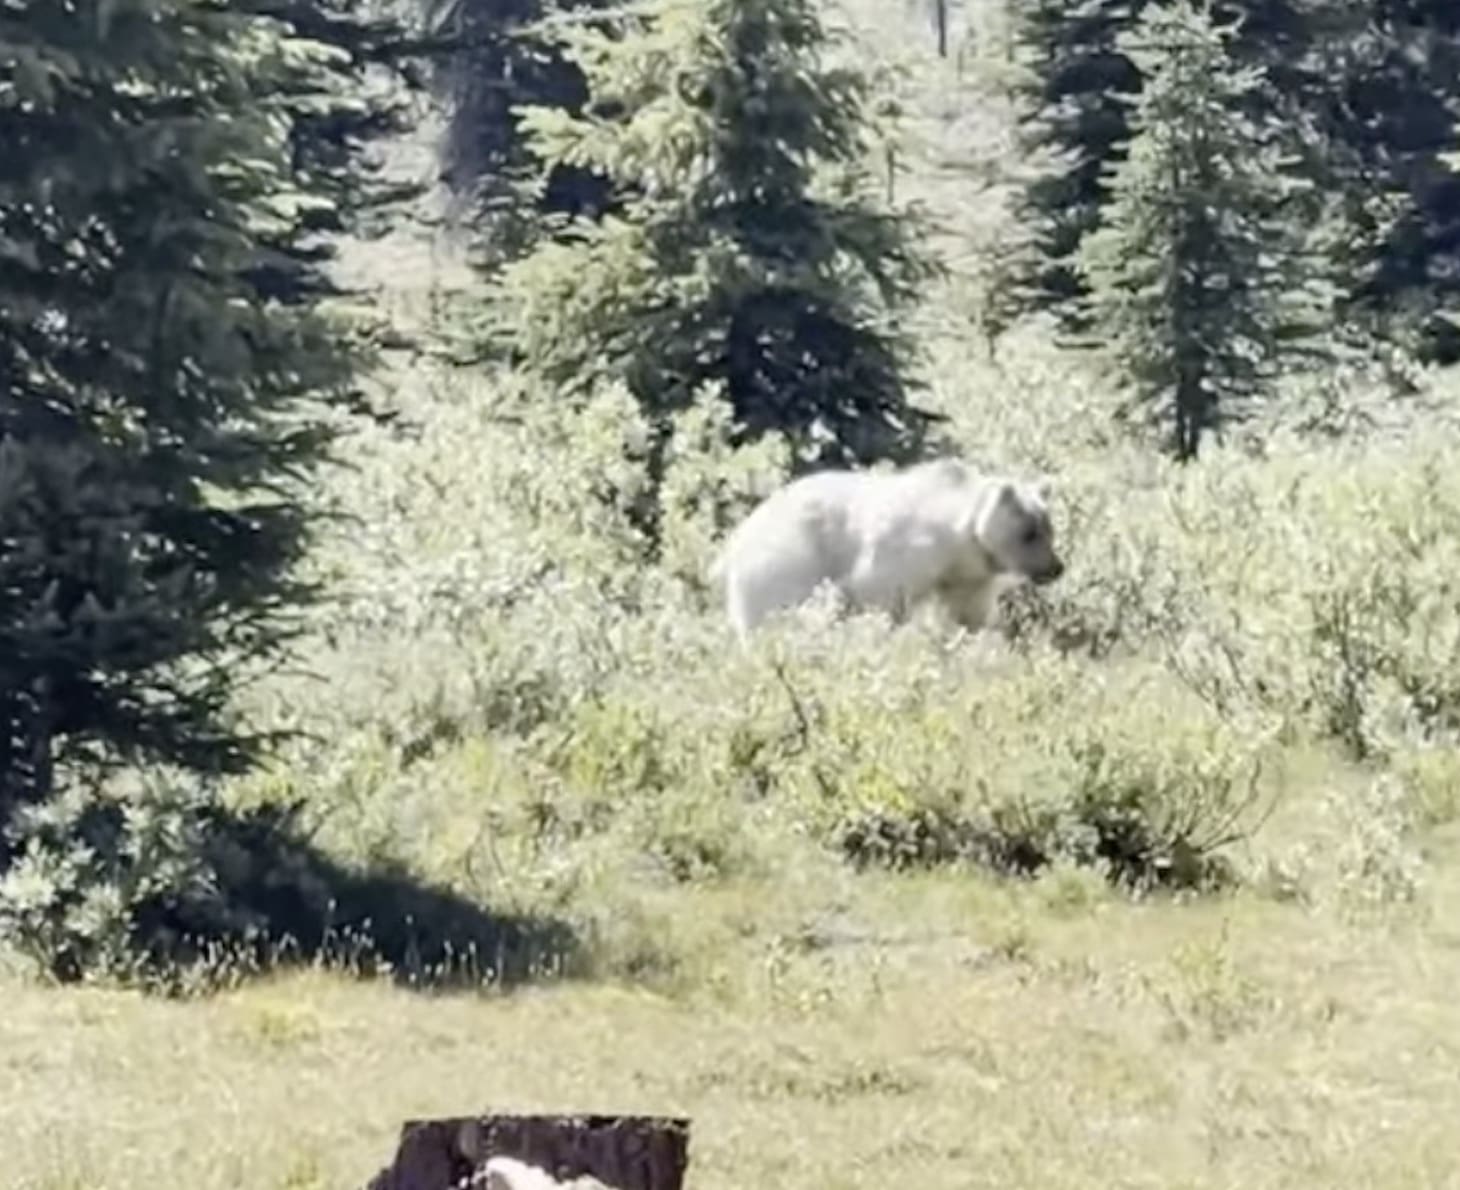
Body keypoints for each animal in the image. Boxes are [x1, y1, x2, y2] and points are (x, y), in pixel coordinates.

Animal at [710, 457, 1064, 642]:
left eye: (1050, 530)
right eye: (1029, 533)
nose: (1056, 567)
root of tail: (735, 541)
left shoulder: (968, 577)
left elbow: (969, 612)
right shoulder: (909, 551)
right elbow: (878, 591)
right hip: (787, 561)